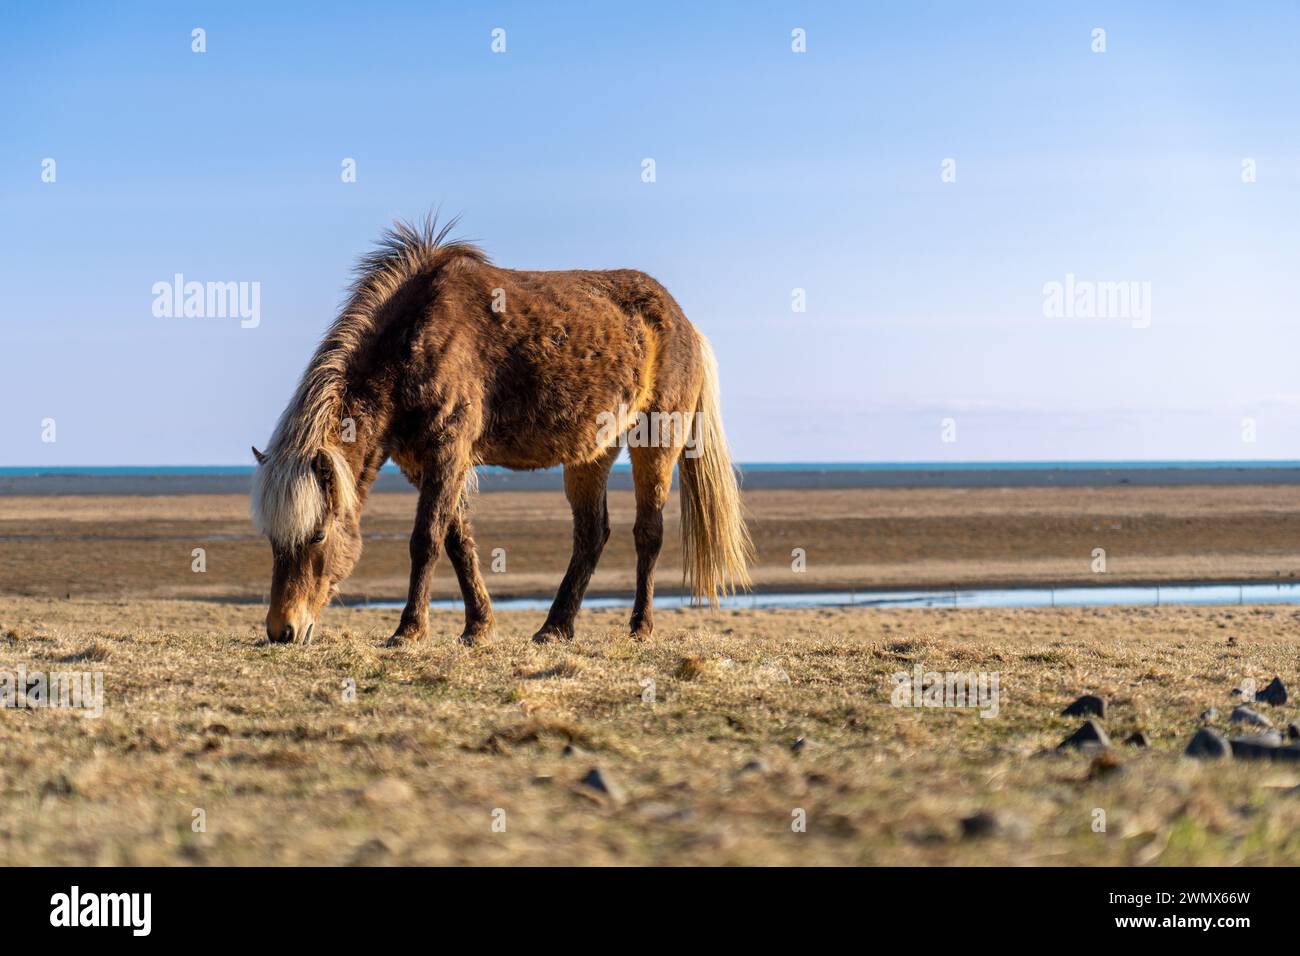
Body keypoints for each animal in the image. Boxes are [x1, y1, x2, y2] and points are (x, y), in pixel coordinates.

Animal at [251, 216, 752, 647]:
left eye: (317, 536)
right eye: (272, 541)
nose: (282, 630)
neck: (416, 336)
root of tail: (686, 323)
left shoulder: (448, 450)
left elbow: (426, 539)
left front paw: (408, 631)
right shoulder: (424, 462)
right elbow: (458, 541)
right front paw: (477, 627)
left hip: (656, 439)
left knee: (648, 532)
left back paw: (640, 627)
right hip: (592, 454)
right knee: (591, 535)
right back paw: (555, 627)